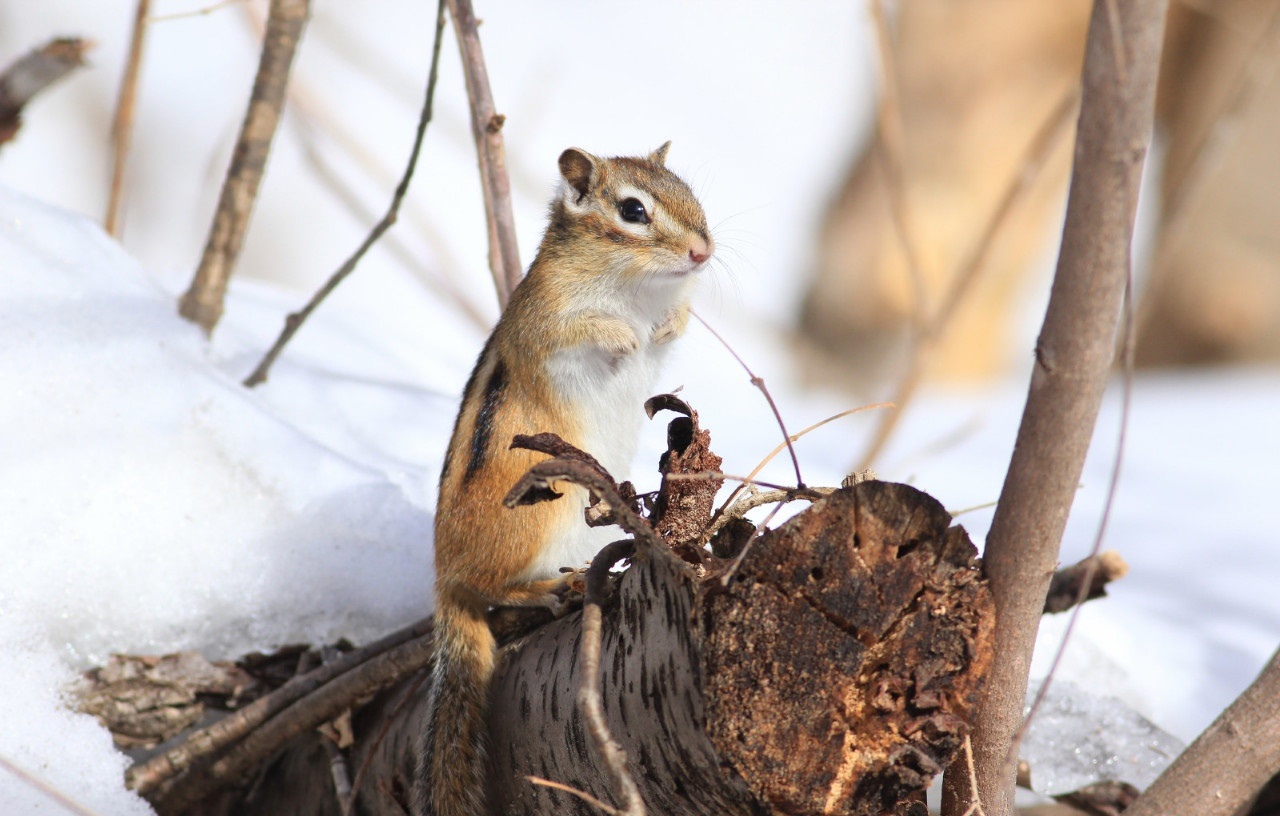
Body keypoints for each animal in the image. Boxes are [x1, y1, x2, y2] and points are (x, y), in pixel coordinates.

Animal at [416, 143, 714, 816]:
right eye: (633, 211)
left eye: (688, 193)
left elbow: (678, 324)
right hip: (539, 513)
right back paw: (544, 589)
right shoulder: (548, 317)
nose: (702, 253)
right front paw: (622, 334)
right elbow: (576, 332)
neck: (636, 286)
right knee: (489, 586)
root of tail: (442, 581)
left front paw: (666, 326)